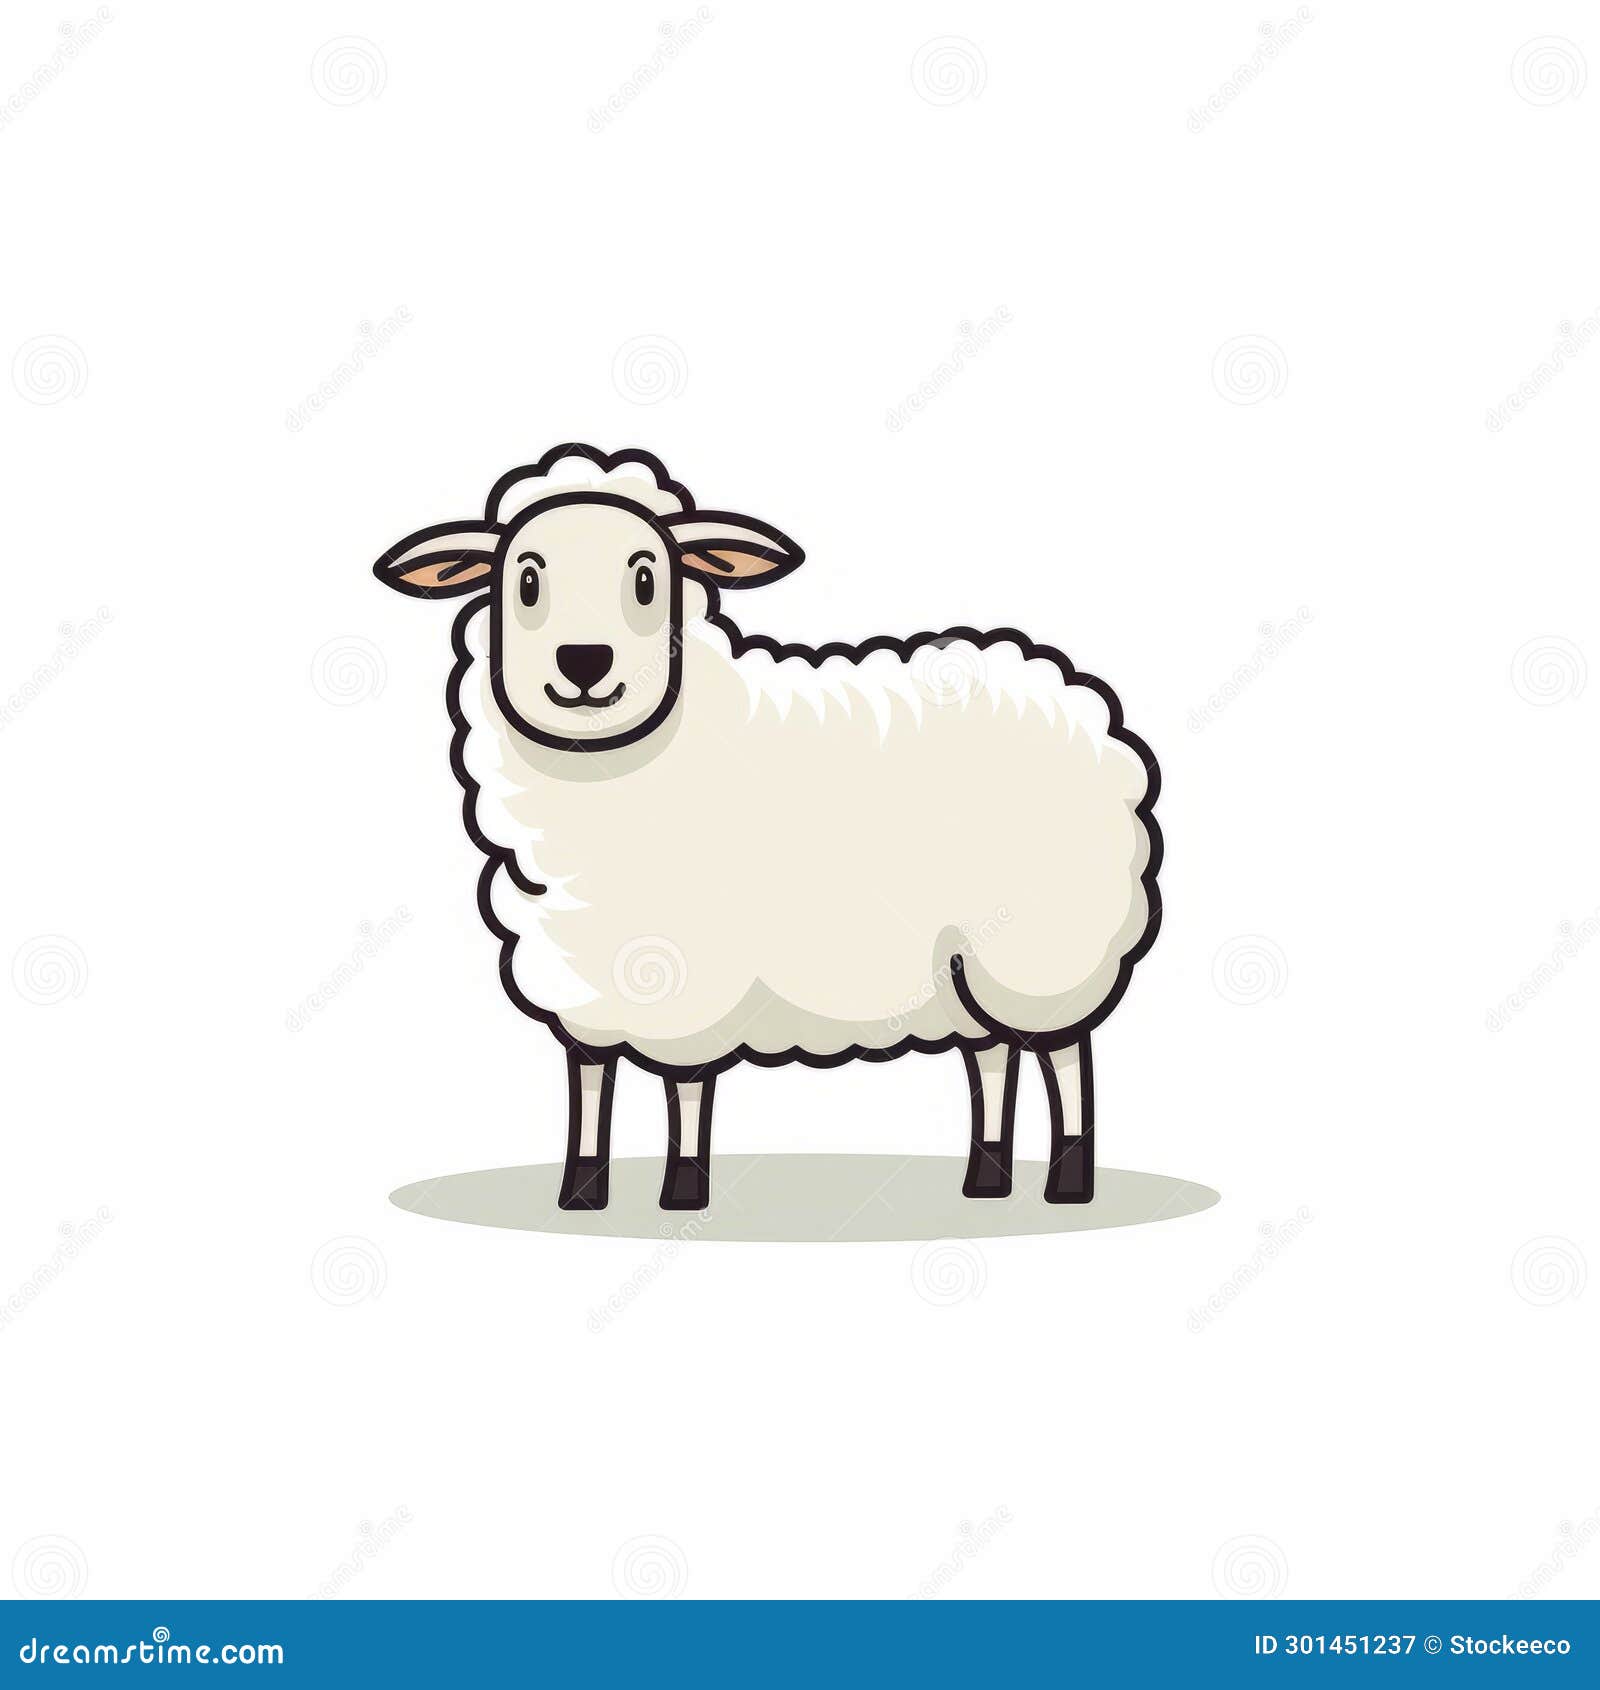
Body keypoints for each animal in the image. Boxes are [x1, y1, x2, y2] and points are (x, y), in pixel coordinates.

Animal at [374, 443, 1161, 1212]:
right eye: (527, 580)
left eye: (646, 578)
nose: (585, 663)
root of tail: (1057, 691)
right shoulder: (586, 984)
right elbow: (591, 1086)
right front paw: (581, 1194)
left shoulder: (691, 976)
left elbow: (686, 1090)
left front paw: (683, 1192)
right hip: (963, 964)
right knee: (993, 1055)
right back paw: (986, 1179)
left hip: (1046, 954)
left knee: (1063, 1055)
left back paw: (1066, 1182)